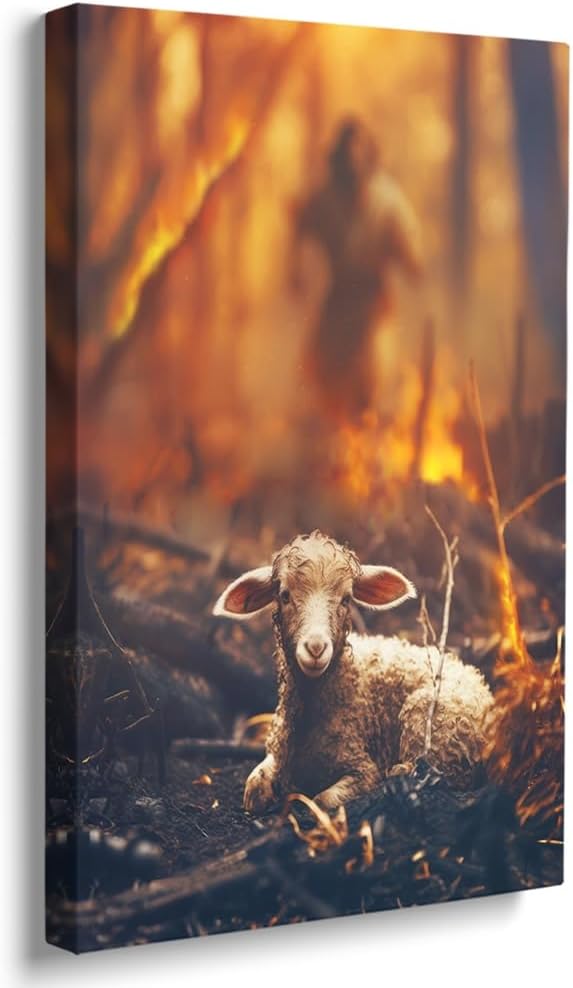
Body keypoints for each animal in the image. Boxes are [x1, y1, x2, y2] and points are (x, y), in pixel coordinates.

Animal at [213, 530, 495, 813]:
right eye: (284, 595)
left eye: (346, 599)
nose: (315, 648)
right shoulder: (277, 749)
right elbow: (254, 789)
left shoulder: (363, 767)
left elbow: (323, 800)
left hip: (428, 717)